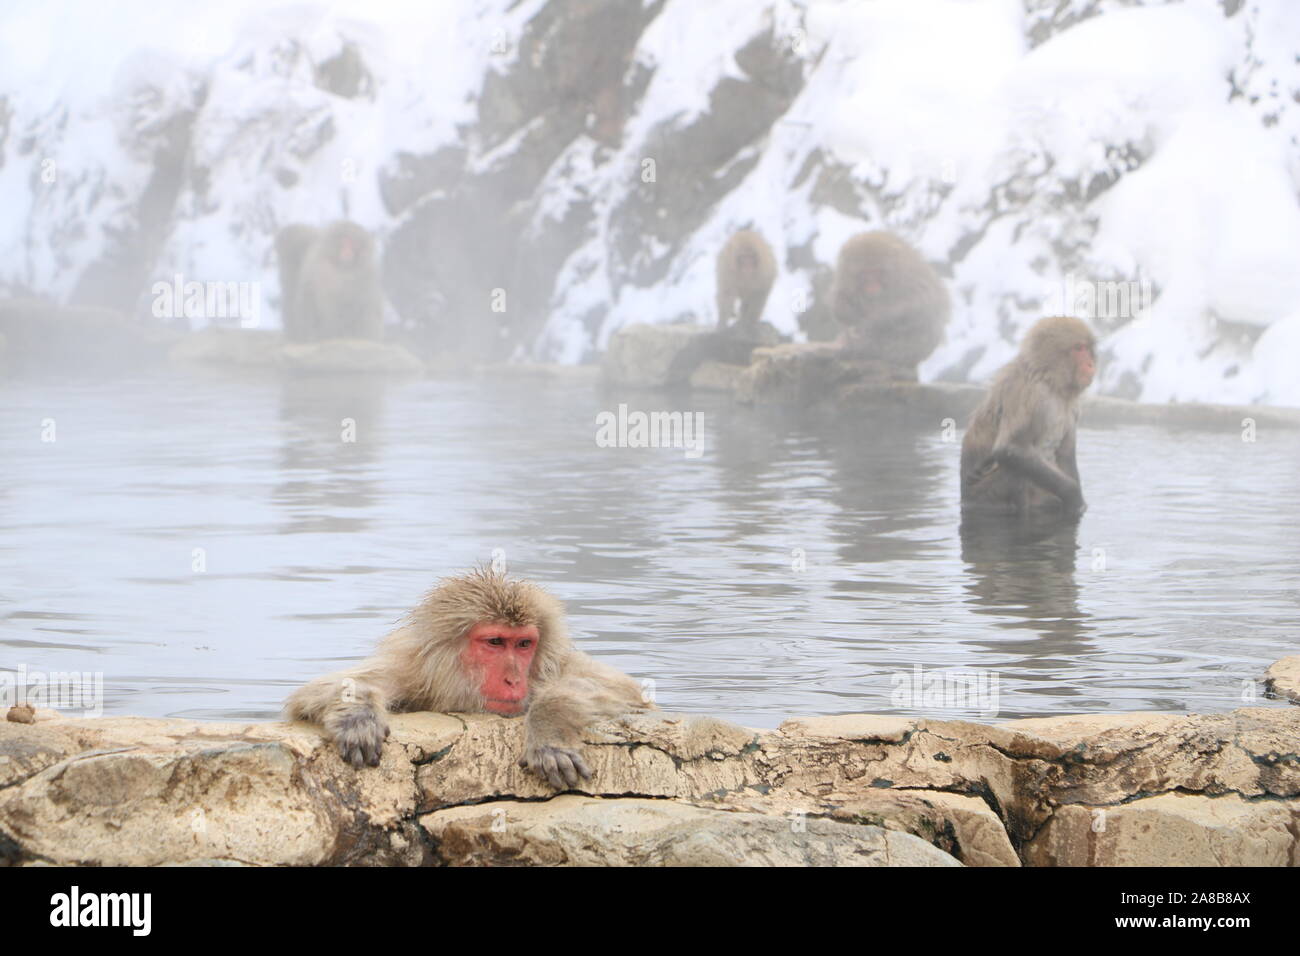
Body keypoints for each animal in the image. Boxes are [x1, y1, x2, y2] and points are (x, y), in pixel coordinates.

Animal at [284, 567, 650, 785]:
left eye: (523, 644)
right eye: (495, 642)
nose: (514, 680)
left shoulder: (552, 665)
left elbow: (621, 690)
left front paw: (549, 730)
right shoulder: (414, 670)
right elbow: (332, 686)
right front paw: (358, 718)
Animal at [826, 231, 951, 377]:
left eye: (877, 272)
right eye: (864, 273)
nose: (872, 286)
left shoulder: (909, 277)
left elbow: (921, 304)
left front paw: (874, 322)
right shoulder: (844, 276)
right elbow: (839, 302)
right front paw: (846, 312)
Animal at [967, 316, 1097, 520]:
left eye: (1087, 348)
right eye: (1078, 348)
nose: (1091, 364)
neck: (1049, 382)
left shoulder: (1073, 407)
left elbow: (1065, 453)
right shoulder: (1029, 394)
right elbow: (1009, 447)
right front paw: (1075, 498)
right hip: (984, 496)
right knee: (1015, 469)